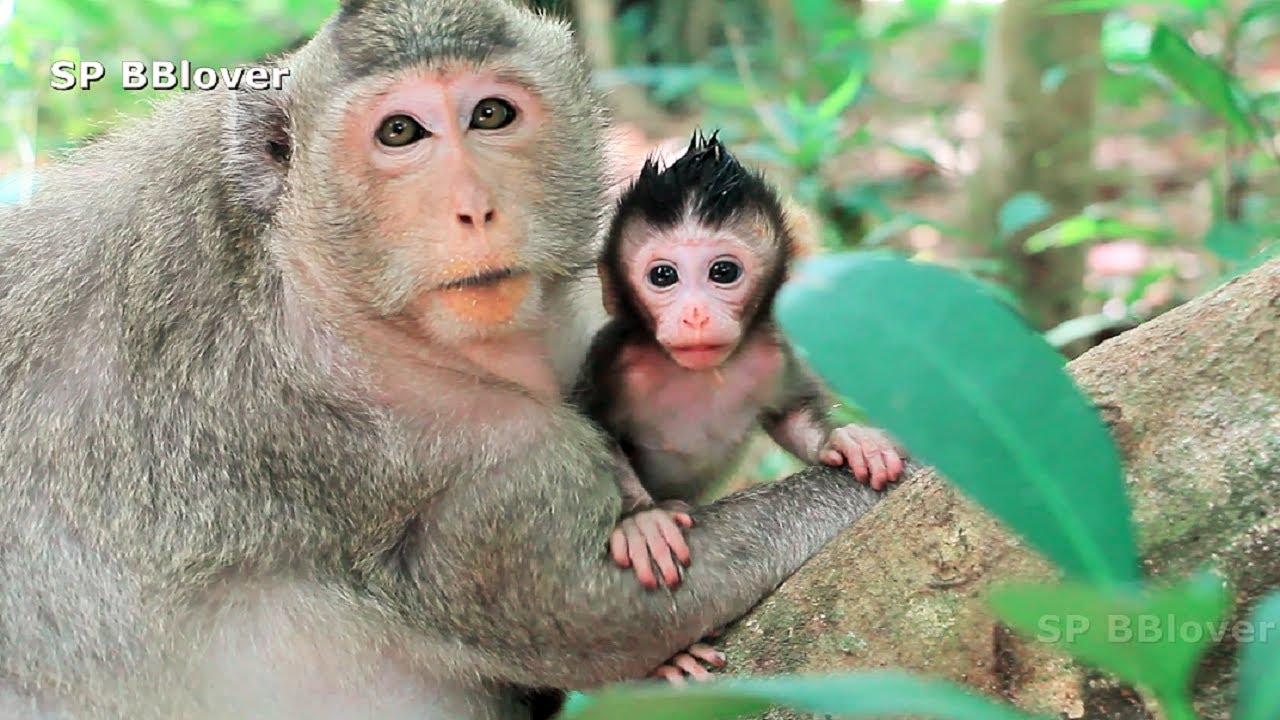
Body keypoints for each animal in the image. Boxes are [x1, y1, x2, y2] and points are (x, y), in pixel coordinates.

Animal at [576, 131, 907, 600]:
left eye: (723, 272)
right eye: (663, 276)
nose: (696, 315)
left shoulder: (771, 354)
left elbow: (790, 415)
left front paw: (847, 441)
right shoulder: (615, 361)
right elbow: (596, 431)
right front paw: (642, 520)